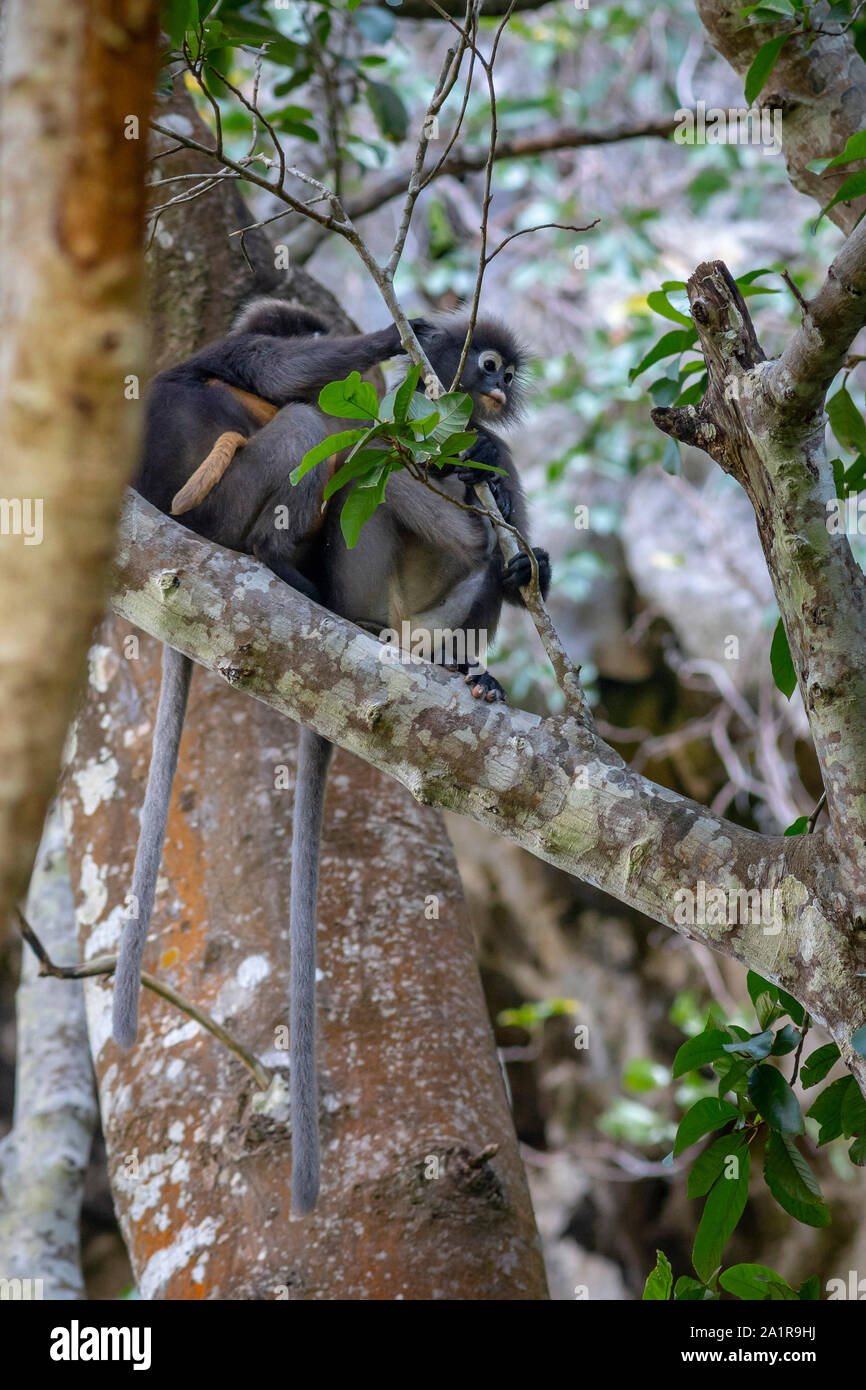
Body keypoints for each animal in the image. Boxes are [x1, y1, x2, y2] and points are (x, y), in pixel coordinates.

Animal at [113, 298, 550, 1217]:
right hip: (228, 509)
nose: (493, 385)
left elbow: (486, 476)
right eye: (488, 363)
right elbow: (295, 384)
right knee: (327, 433)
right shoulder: (250, 349)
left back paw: (472, 657)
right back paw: (294, 569)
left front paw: (512, 528)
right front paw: (408, 327)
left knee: (465, 536)